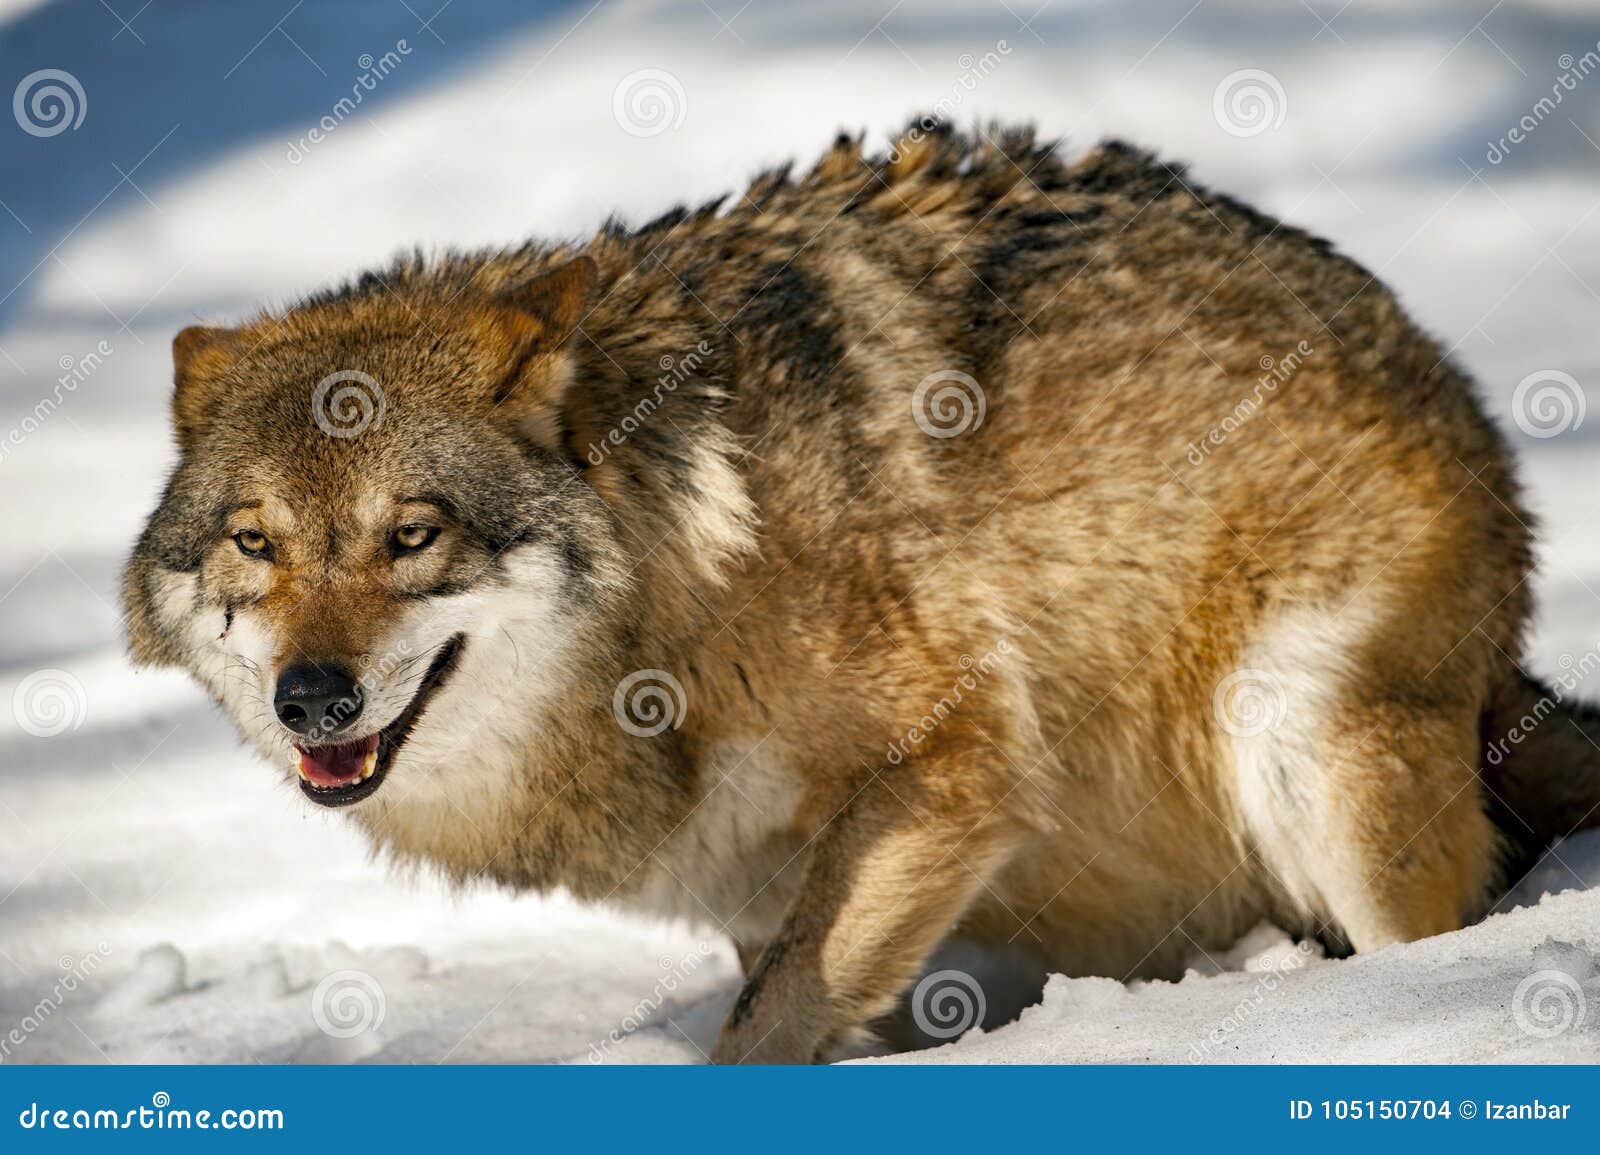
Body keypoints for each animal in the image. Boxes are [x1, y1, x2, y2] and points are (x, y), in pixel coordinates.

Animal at [124, 123, 1600, 1063]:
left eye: (411, 535)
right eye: (255, 544)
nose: (312, 699)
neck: (687, 574)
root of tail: (1412, 338)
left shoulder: (951, 768)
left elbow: (758, 1035)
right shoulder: (759, 894)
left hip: (1303, 744)